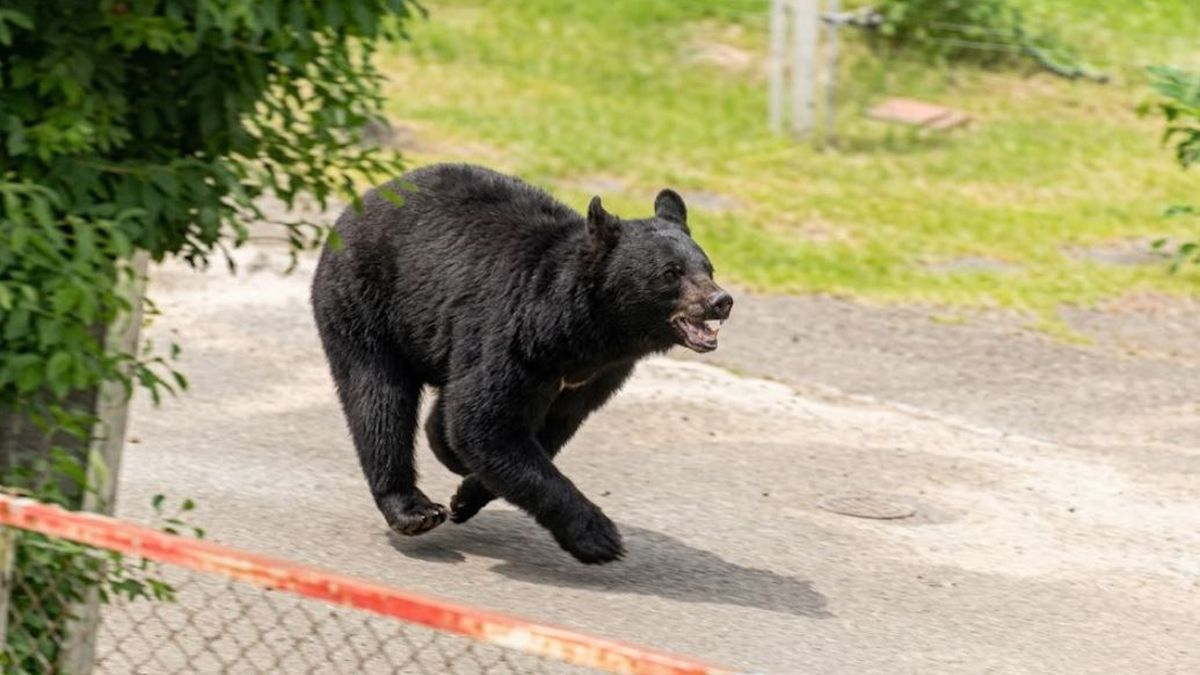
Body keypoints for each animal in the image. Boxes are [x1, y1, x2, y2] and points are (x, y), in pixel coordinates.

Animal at [310, 163, 732, 564]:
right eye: (670, 272)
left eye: (708, 267)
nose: (721, 301)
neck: (586, 334)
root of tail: (367, 197)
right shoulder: (513, 336)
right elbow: (484, 424)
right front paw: (598, 536)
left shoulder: (596, 376)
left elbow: (545, 428)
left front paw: (466, 494)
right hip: (364, 304)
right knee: (379, 400)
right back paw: (413, 509)